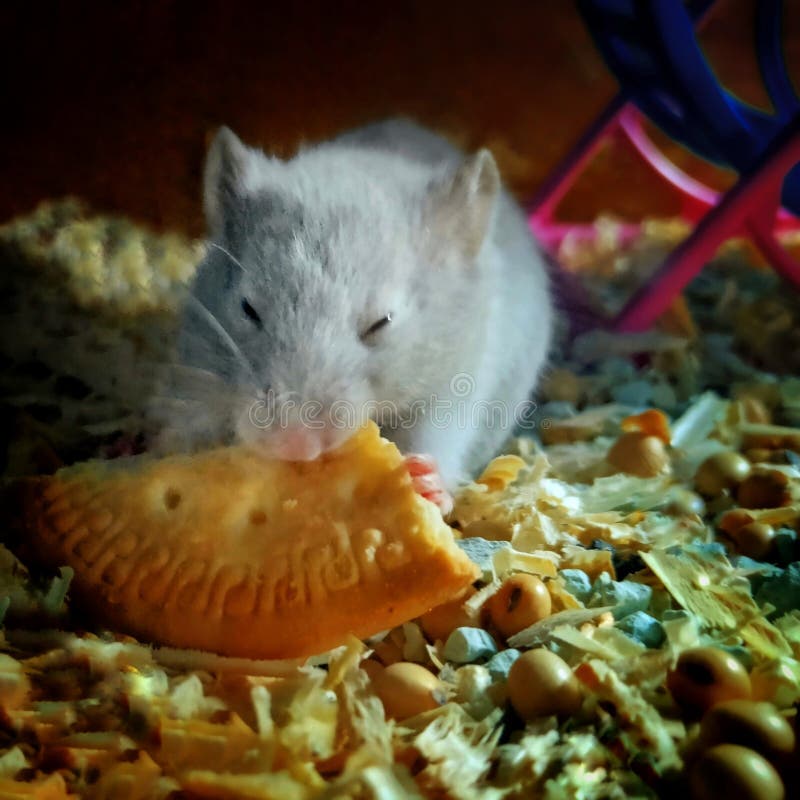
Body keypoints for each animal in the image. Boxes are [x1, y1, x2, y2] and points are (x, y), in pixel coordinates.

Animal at [160, 118, 553, 490]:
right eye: (248, 309)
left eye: (381, 322)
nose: (294, 444)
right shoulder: (196, 360)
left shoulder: (460, 382)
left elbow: (438, 435)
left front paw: (424, 482)